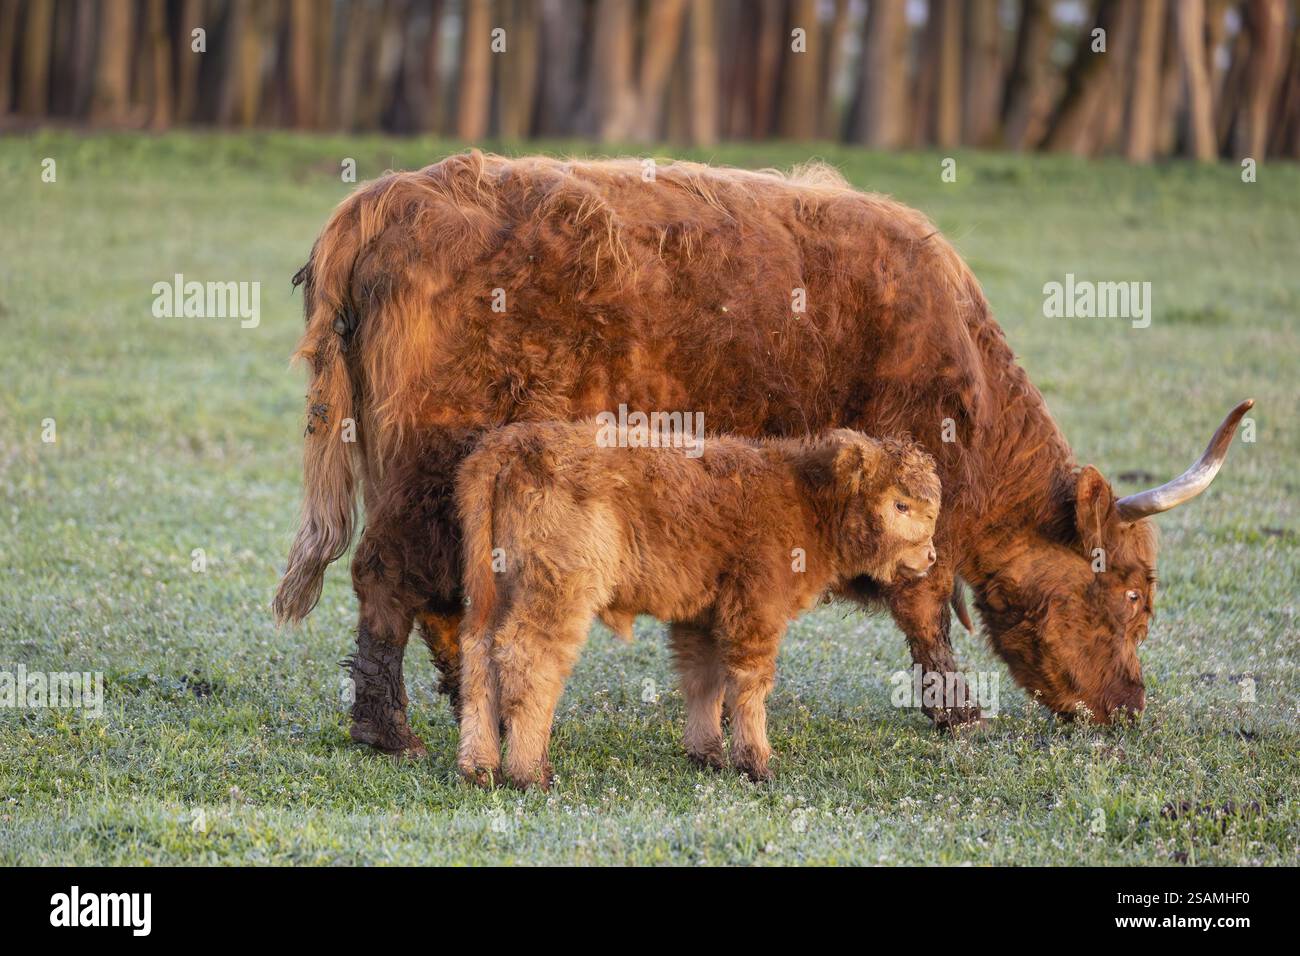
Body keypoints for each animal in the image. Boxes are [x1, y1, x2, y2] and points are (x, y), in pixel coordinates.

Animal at [453, 422, 941, 788]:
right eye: (900, 504)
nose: (931, 555)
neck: (801, 499)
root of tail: (518, 440)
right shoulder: (755, 608)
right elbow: (748, 683)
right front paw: (756, 762)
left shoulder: (701, 615)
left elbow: (703, 679)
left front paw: (707, 754)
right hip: (556, 591)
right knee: (528, 659)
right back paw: (529, 772)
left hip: (495, 593)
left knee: (479, 656)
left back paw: (479, 767)